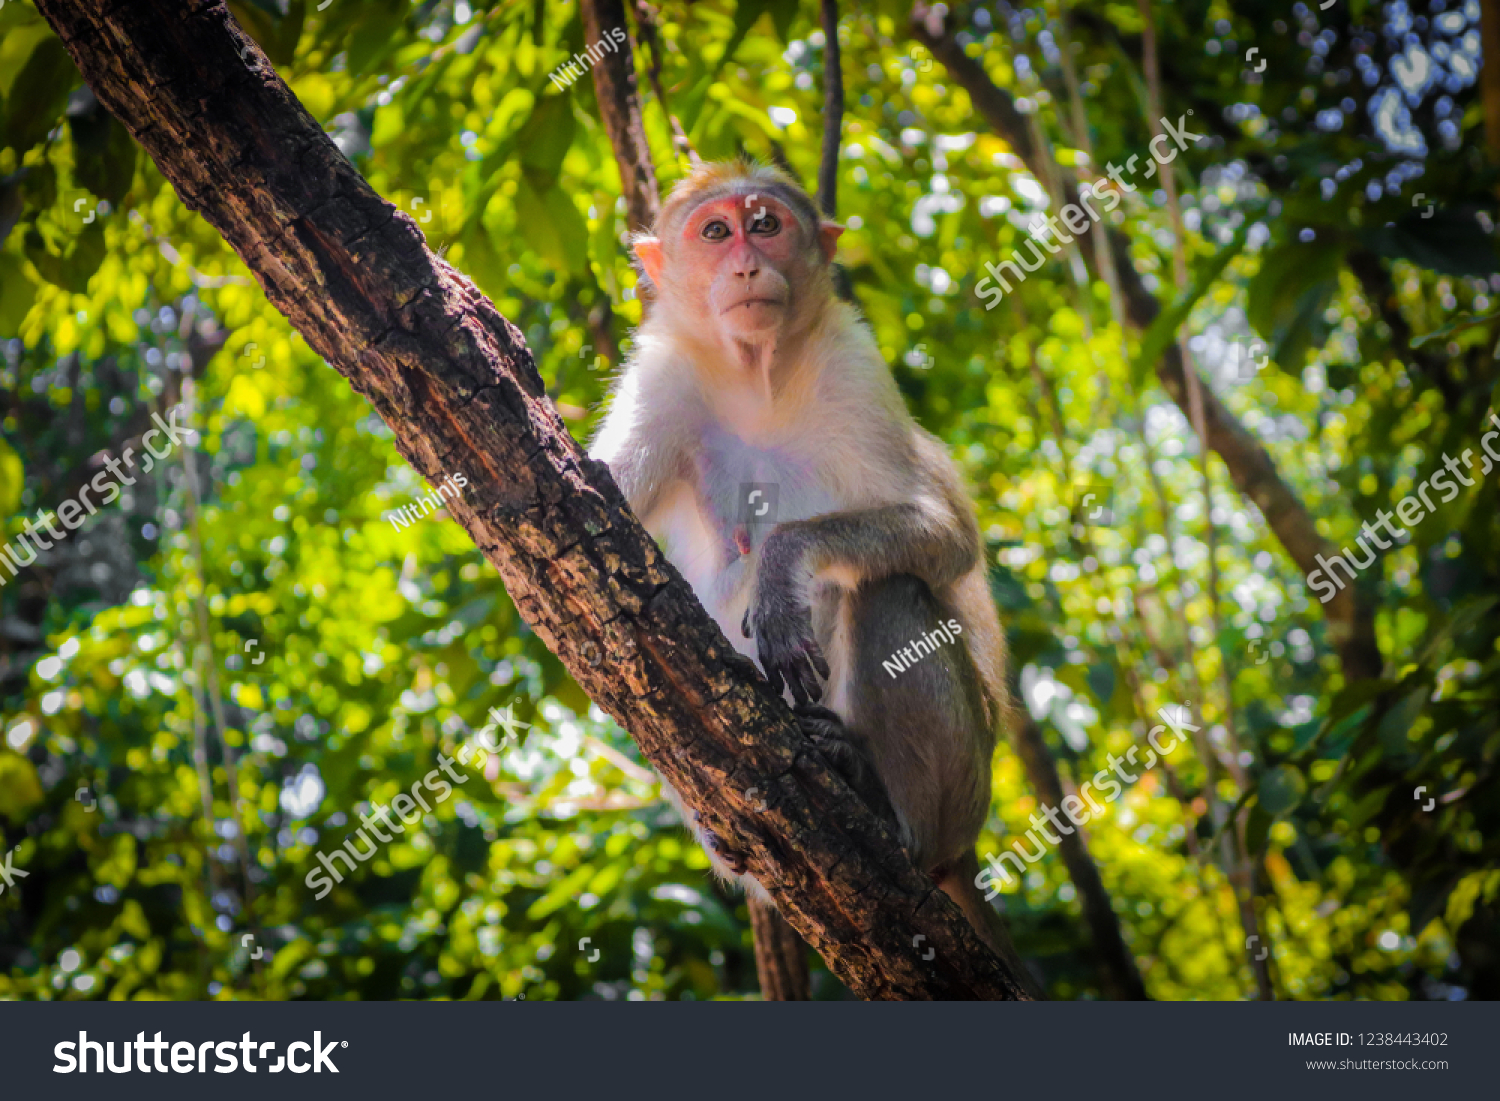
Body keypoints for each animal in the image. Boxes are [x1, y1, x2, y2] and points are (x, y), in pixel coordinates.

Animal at [589, 160, 1033, 987]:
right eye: (715, 231)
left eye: (765, 225)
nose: (745, 265)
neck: (757, 372)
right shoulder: (663, 378)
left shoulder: (854, 362)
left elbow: (945, 536)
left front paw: (780, 570)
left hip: (967, 790)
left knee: (893, 590)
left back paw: (880, 802)